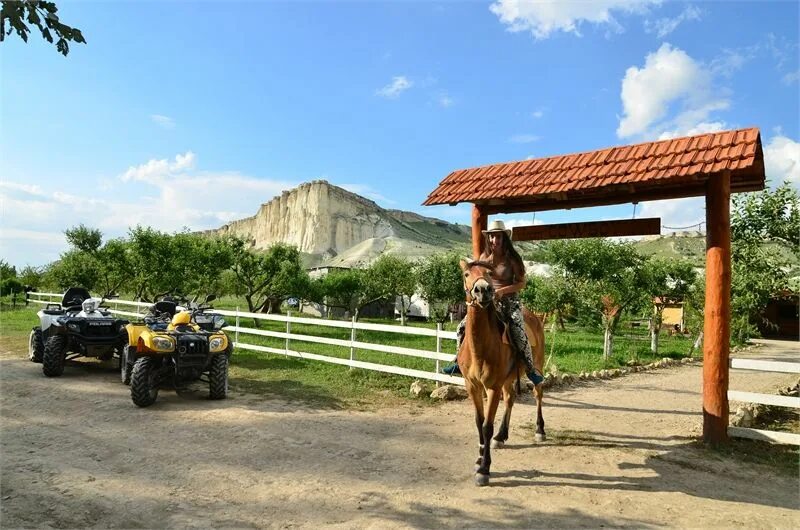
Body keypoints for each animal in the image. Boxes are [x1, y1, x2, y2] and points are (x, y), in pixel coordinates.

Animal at [456, 258, 544, 484]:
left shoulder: (493, 387)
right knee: (510, 399)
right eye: (466, 274)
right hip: (507, 379)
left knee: (538, 393)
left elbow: (487, 426)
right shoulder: (473, 386)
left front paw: (484, 470)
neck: (480, 347)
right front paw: (479, 458)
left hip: (537, 367)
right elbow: (479, 422)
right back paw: (501, 436)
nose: (483, 290)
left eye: (489, 273)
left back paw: (540, 430)